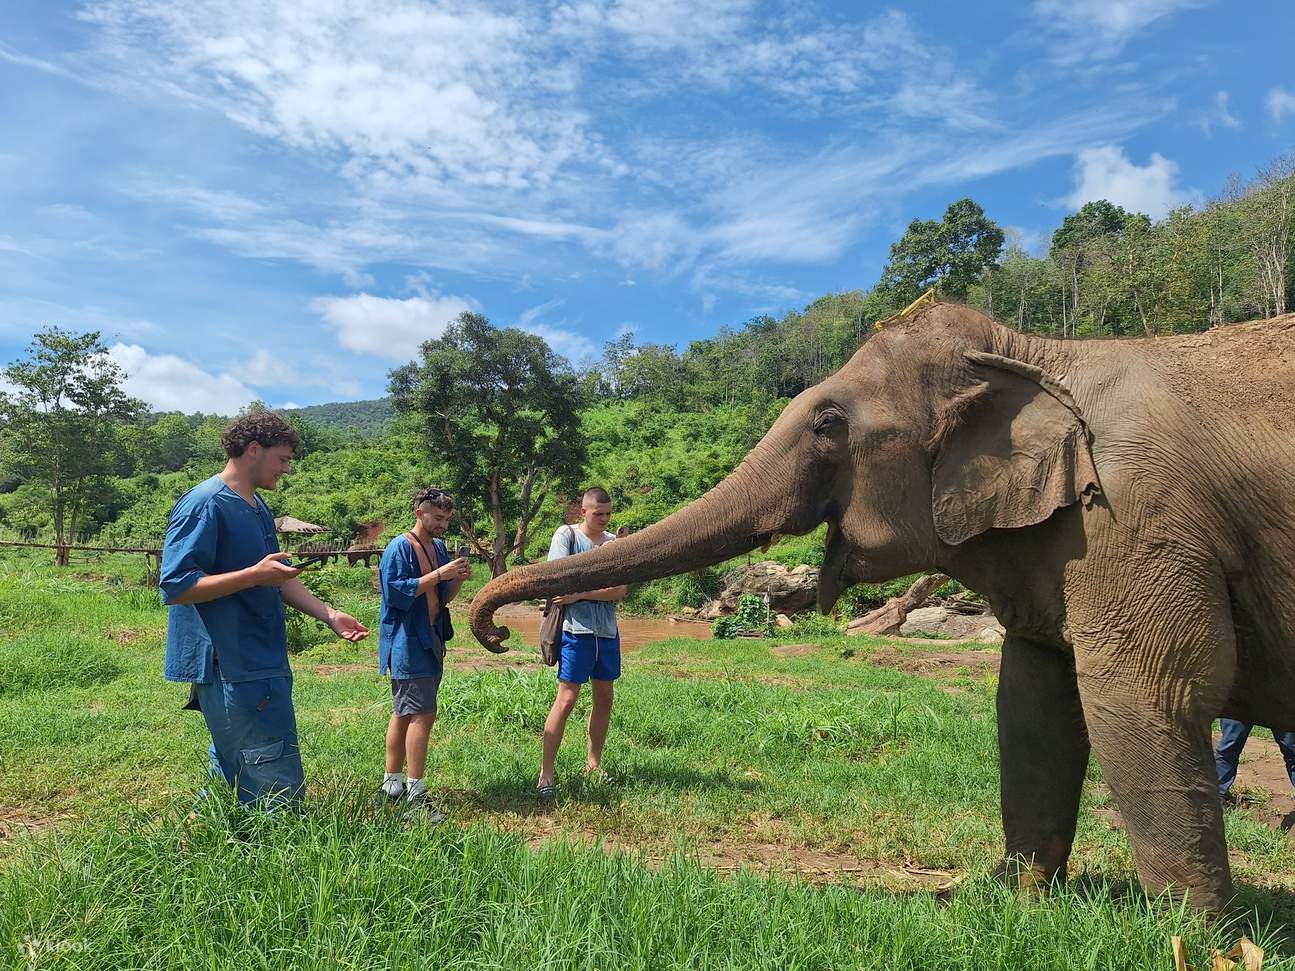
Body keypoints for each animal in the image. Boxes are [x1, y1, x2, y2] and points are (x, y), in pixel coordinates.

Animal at [470, 301, 1295, 911]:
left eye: (830, 425)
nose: (496, 632)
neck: (1034, 351)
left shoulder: (1136, 518)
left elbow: (1147, 689)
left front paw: (1191, 937)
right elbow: (1031, 692)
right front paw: (1007, 897)